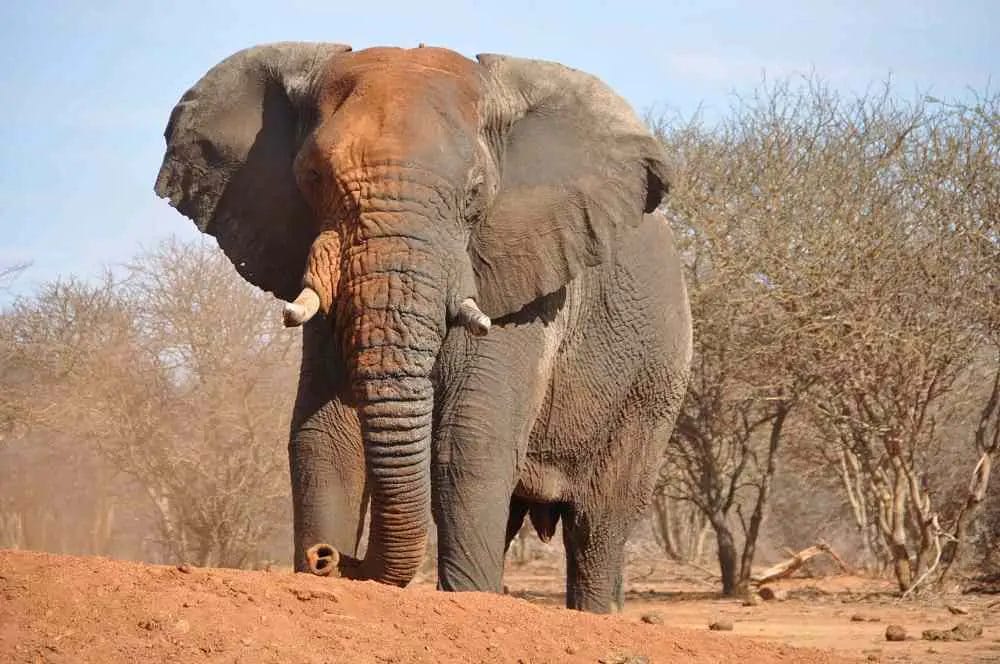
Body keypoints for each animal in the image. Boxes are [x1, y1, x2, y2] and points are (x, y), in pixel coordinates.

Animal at [154, 42, 692, 613]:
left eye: (475, 193)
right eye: (312, 178)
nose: (328, 557)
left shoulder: (526, 279)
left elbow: (468, 442)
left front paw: (470, 603)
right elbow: (324, 436)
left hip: (653, 385)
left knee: (598, 524)